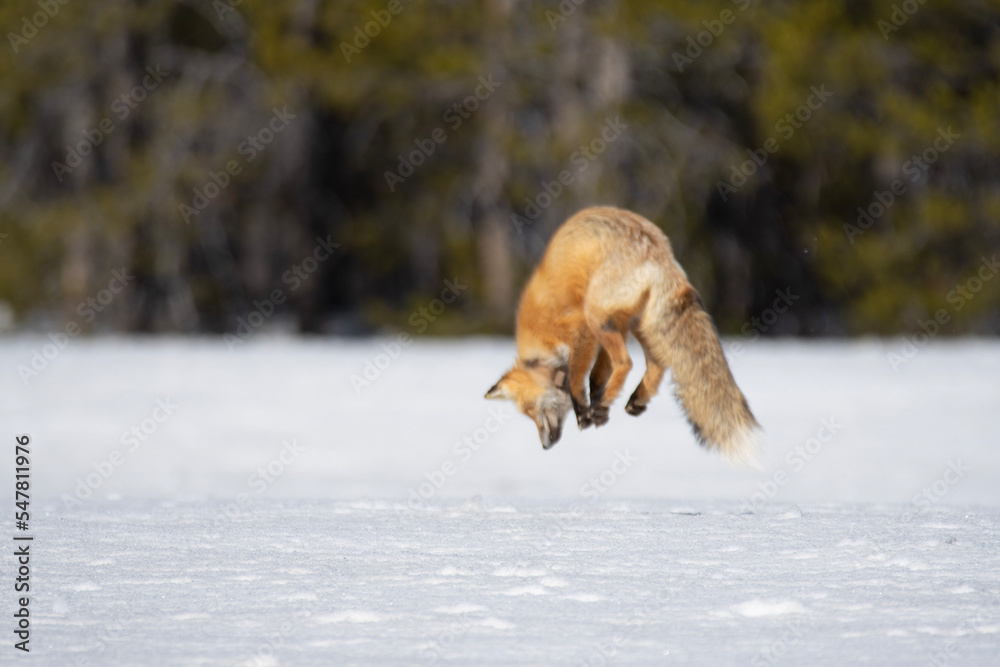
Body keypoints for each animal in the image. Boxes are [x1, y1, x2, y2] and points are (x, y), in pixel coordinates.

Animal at [485, 206, 761, 466]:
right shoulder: (613, 327)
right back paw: (633, 400)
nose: (544, 446)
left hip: (598, 314)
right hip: (638, 323)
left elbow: (575, 378)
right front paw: (598, 403)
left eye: (533, 410)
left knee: (626, 362)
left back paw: (605, 404)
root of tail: (660, 252)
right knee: (657, 363)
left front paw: (585, 412)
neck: (542, 334)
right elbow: (597, 375)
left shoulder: (582, 327)